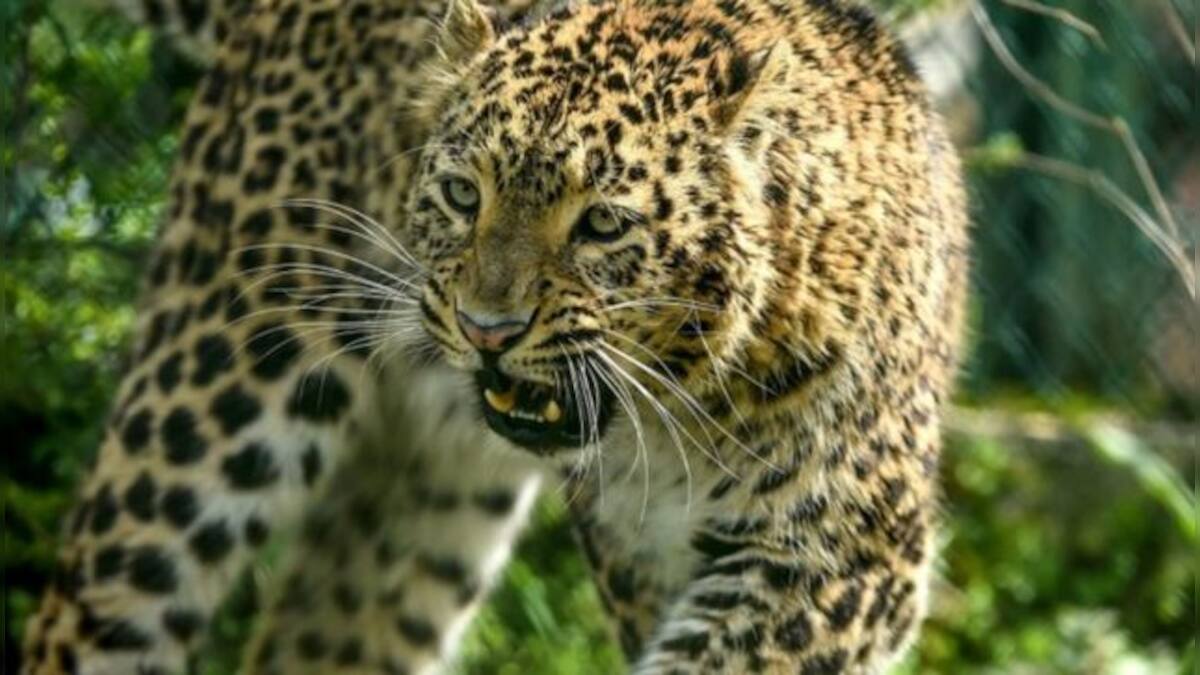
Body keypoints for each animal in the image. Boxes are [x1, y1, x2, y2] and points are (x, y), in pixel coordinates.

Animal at [20, 0, 968, 673]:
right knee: (91, 609)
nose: (486, 329)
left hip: (426, 504)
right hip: (219, 384)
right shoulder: (640, 554)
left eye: (603, 224)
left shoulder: (841, 557)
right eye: (461, 193)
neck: (689, 410)